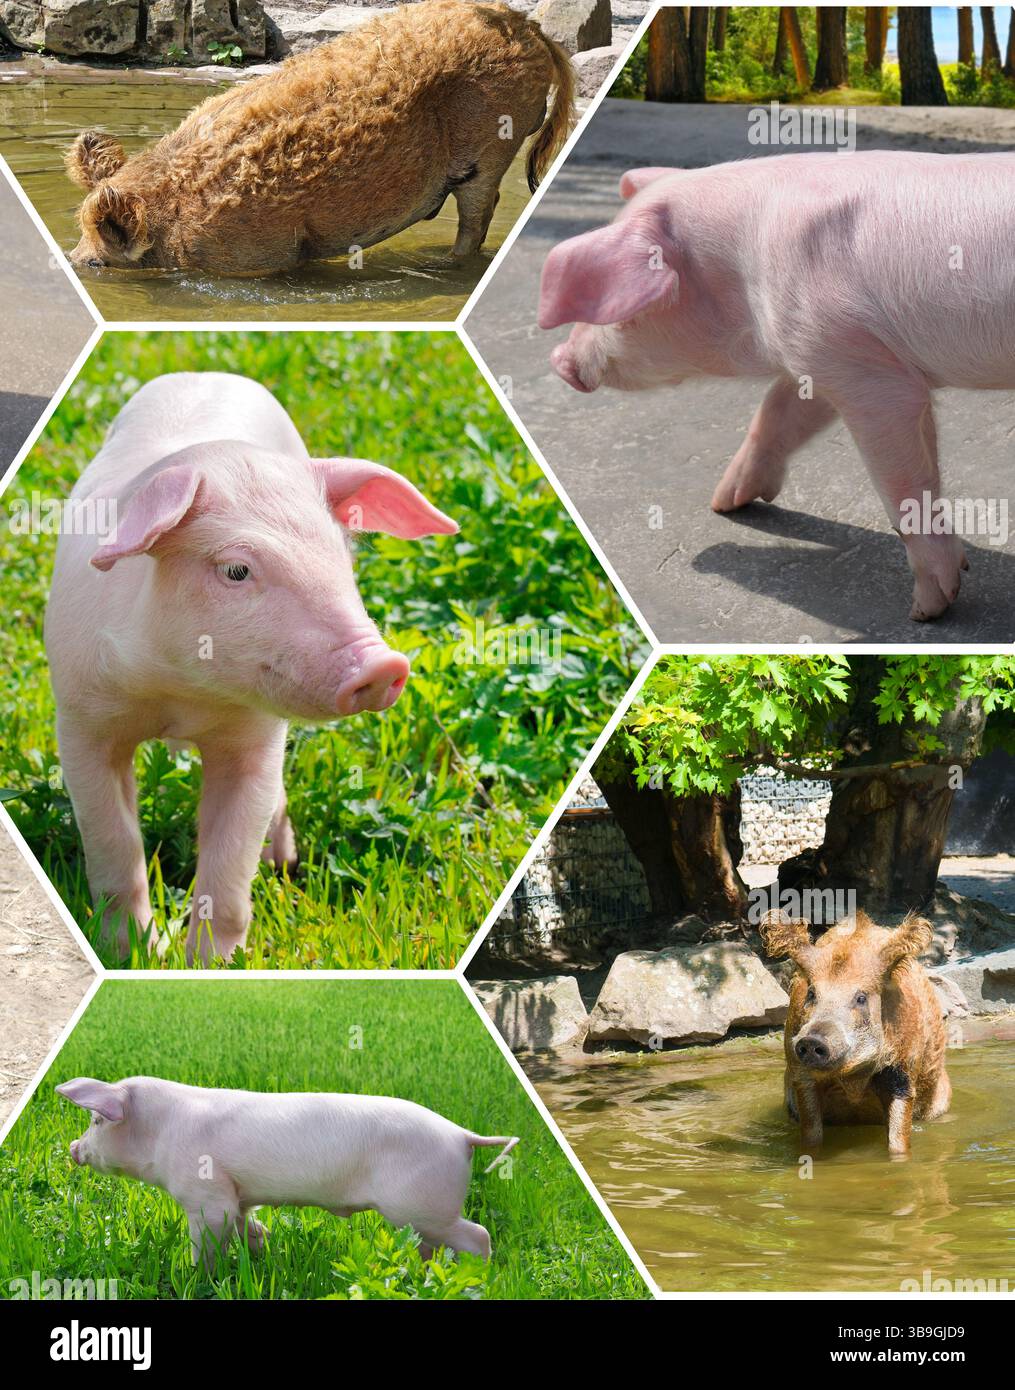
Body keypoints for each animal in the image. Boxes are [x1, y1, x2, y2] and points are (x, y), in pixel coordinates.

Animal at [44, 371, 457, 963]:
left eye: (343, 558)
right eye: (236, 570)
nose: (383, 664)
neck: (180, 694)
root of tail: (205, 374)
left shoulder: (255, 737)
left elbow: (231, 865)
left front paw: (213, 965)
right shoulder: (80, 718)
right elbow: (114, 845)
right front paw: (135, 955)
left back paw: (283, 864)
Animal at [57, 1077, 517, 1268]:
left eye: (96, 1121)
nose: (73, 1148)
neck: (162, 1130)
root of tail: (462, 1136)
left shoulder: (205, 1194)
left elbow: (209, 1239)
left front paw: (197, 1275)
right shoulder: (237, 1194)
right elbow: (245, 1223)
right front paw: (261, 1246)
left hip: (423, 1206)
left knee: (477, 1235)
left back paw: (479, 1276)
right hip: (420, 1216)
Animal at [64, 0, 574, 275]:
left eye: (97, 259)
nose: (71, 260)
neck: (171, 213)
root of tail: (532, 28)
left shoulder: (259, 254)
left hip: (491, 148)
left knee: (479, 216)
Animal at [537, 151, 1015, 621]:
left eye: (618, 310)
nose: (560, 361)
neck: (737, 277)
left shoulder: (867, 372)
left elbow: (901, 483)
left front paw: (927, 609)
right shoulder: (820, 358)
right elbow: (775, 414)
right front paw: (724, 503)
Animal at [760, 909, 951, 1157]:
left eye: (861, 998)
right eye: (811, 993)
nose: (811, 1039)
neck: (853, 1081)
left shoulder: (903, 1074)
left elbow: (898, 1140)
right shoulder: (801, 1075)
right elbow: (811, 1137)